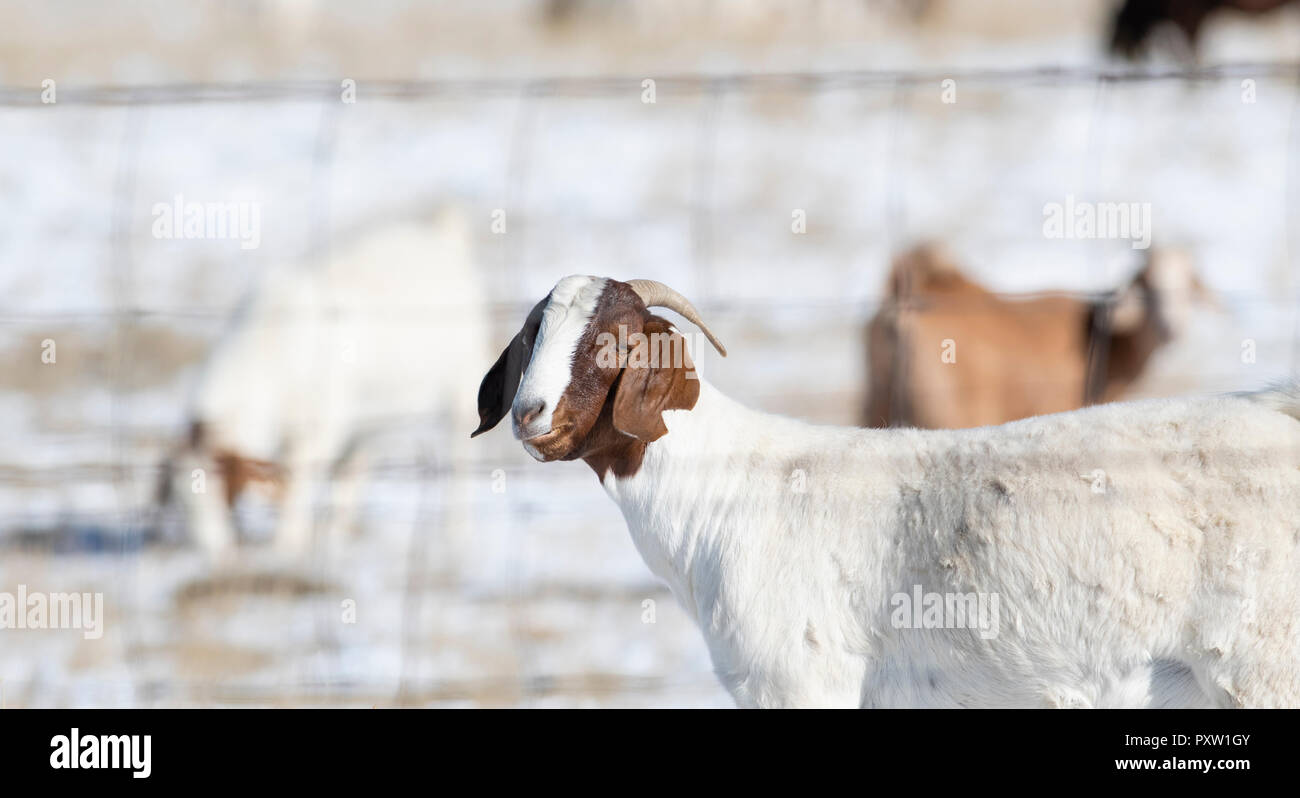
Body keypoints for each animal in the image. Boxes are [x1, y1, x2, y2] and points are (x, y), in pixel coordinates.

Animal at [163, 210, 488, 556]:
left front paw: (287, 543)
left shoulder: (319, 431)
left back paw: (456, 531)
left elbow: (297, 481)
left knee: (460, 460)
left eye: (223, 488)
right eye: (182, 501)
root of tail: (444, 234)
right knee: (355, 466)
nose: (212, 551)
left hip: (461, 388)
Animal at [474, 275, 1300, 708]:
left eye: (613, 342)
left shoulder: (803, 681)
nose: (529, 414)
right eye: (533, 336)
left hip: (1264, 666)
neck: (724, 492)